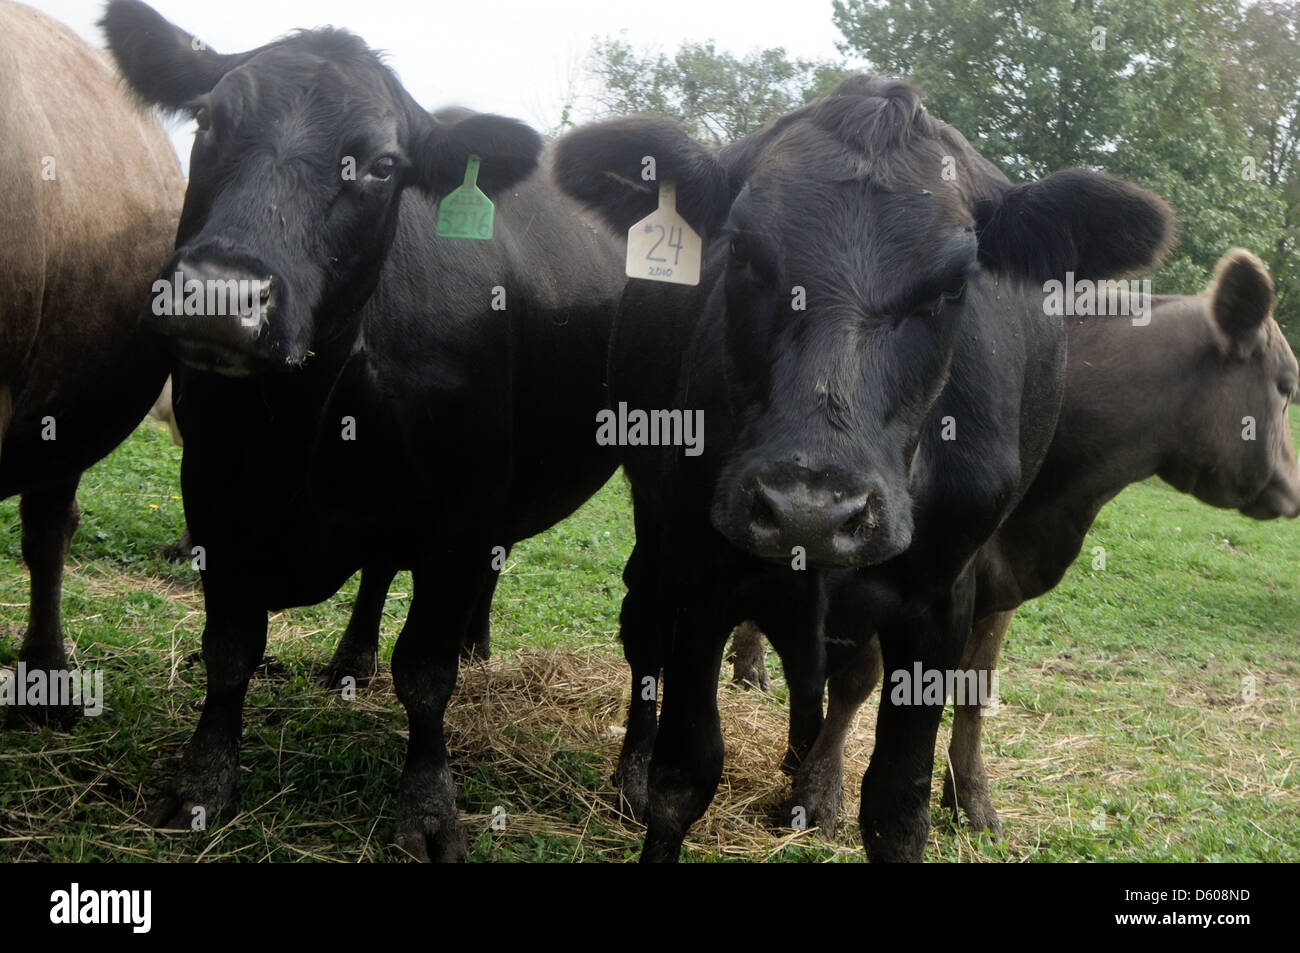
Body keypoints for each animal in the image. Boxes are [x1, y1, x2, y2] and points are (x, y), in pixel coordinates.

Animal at [101, 0, 623, 861]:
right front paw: (202, 780)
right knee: (379, 572)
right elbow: (229, 647)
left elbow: (427, 675)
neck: (298, 425)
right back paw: (352, 654)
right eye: (208, 121)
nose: (218, 295)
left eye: (381, 166)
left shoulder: (460, 513)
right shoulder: (211, 491)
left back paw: (476, 644)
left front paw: (429, 806)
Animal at [554, 75, 1174, 861]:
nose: (810, 511)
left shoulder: (941, 595)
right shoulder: (702, 562)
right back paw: (634, 771)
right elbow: (684, 775)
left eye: (953, 284)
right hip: (653, 514)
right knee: (644, 627)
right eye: (744, 254)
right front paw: (658, 785)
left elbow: (897, 804)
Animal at [779, 247, 1300, 838]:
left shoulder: (994, 575)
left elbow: (975, 685)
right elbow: (856, 678)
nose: (1294, 487)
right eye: (1286, 386)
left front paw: (972, 798)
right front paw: (819, 793)